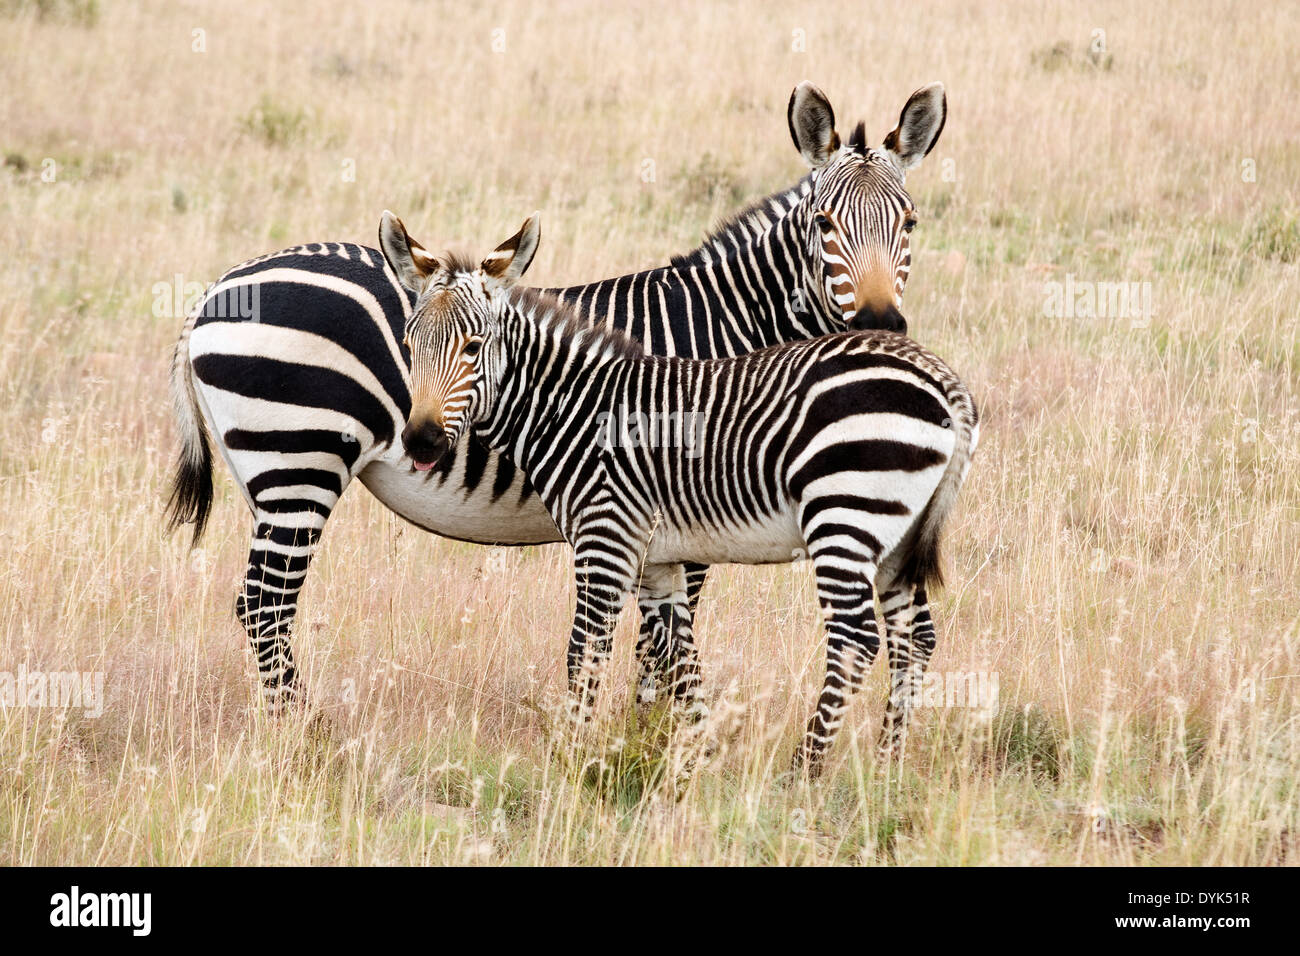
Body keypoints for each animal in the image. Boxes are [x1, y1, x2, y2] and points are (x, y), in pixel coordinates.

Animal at [166, 81, 948, 716]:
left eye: (910, 224)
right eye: (824, 226)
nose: (880, 323)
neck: (723, 326)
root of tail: (218, 289)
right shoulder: (682, 506)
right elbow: (665, 642)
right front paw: (651, 738)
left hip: (271, 474)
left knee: (262, 604)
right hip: (299, 460)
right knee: (265, 605)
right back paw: (301, 734)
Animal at [389, 214, 979, 770]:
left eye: (473, 347)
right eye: (409, 345)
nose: (420, 440)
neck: (574, 407)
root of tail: (943, 380)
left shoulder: (605, 539)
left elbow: (586, 653)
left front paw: (569, 763)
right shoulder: (658, 559)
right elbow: (677, 656)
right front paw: (699, 758)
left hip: (843, 517)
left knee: (856, 640)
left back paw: (803, 773)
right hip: (894, 535)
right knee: (913, 638)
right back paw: (885, 769)